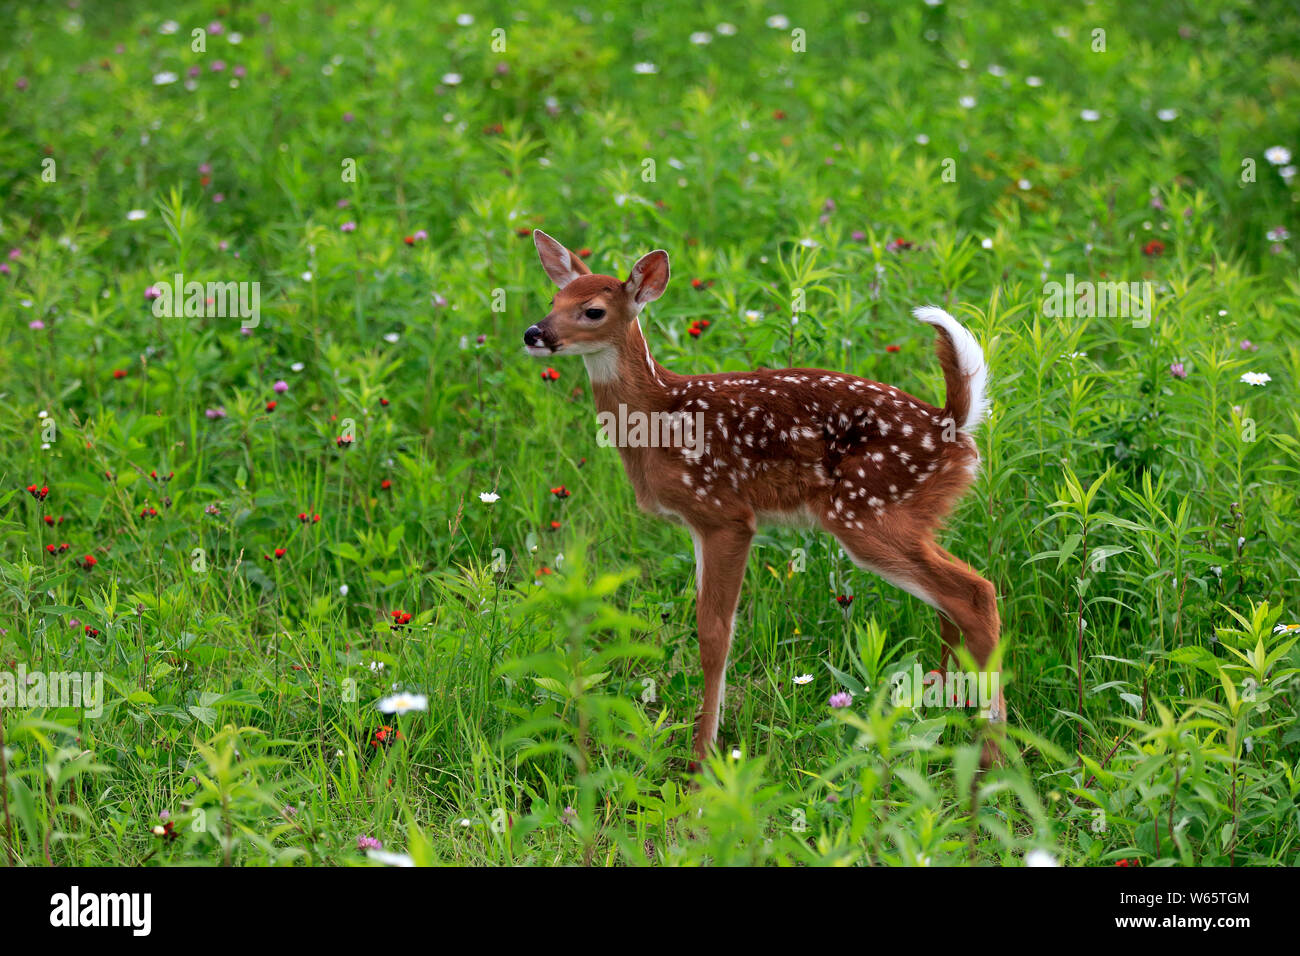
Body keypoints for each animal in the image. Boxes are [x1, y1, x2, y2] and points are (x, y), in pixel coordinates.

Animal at [523, 230, 1005, 768]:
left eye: (593, 311)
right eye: (553, 300)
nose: (534, 333)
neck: (659, 418)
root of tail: (953, 425)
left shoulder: (724, 512)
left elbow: (714, 634)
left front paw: (702, 762)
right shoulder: (700, 523)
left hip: (867, 509)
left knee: (974, 593)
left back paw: (991, 757)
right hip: (912, 514)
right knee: (951, 603)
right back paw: (948, 720)